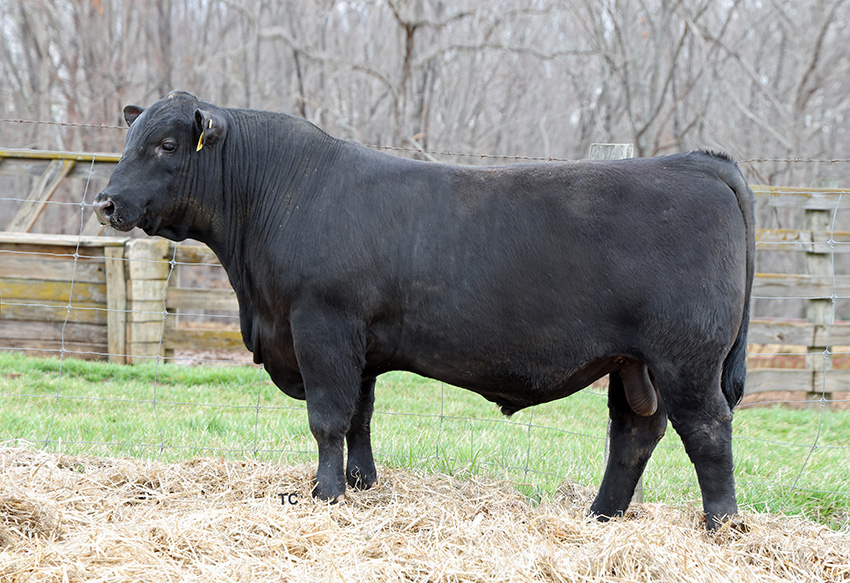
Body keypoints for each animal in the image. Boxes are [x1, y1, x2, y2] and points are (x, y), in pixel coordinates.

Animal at [93, 91, 754, 529]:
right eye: (127, 142)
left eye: (167, 145)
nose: (105, 202)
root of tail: (696, 161)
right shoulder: (357, 345)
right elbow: (359, 417)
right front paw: (361, 485)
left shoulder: (321, 326)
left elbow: (327, 418)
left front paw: (324, 495)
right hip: (633, 363)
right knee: (635, 433)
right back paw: (600, 517)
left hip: (686, 358)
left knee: (707, 431)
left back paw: (720, 526)